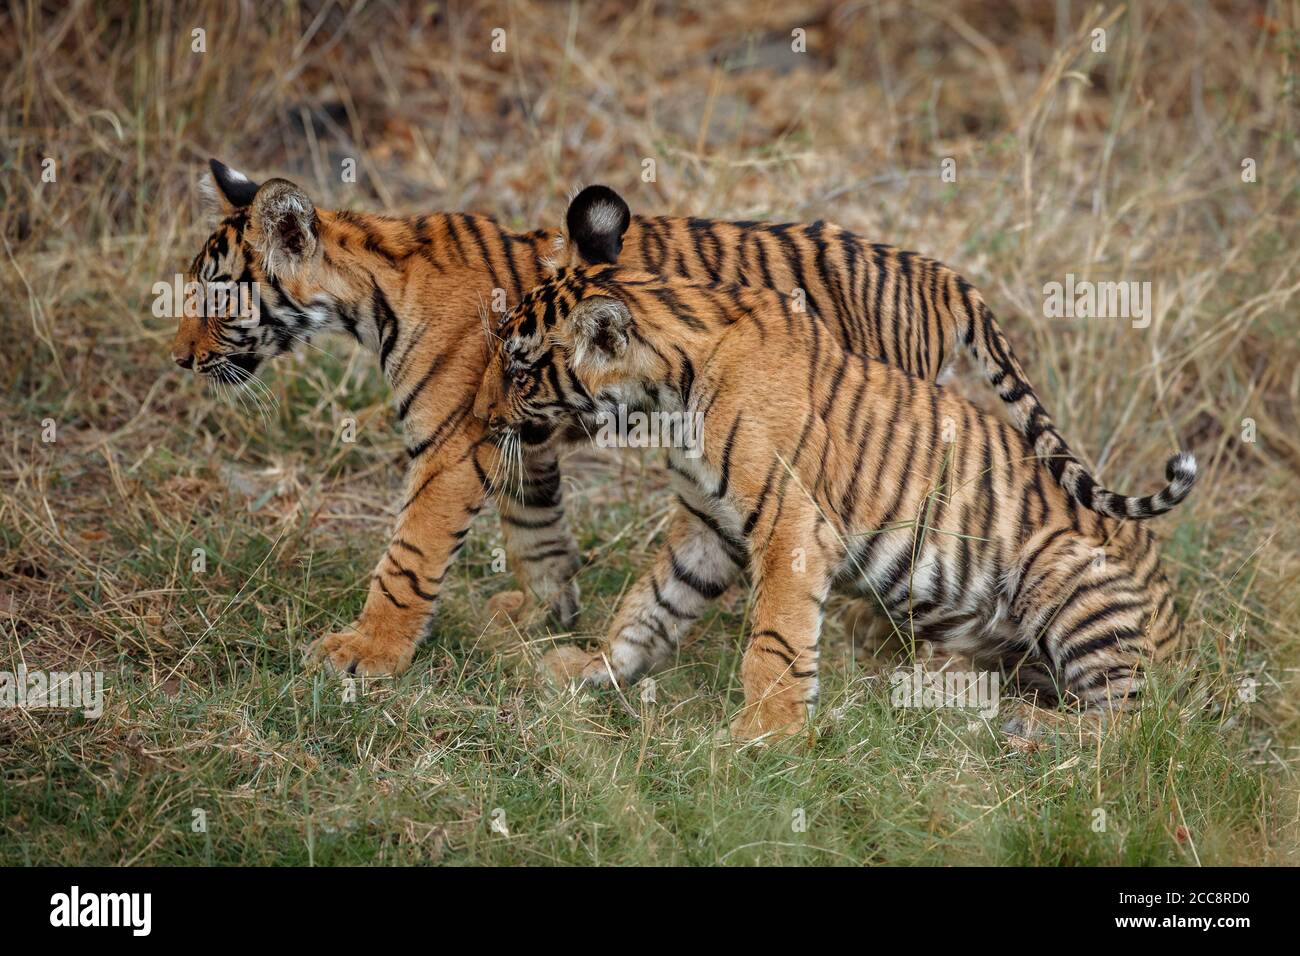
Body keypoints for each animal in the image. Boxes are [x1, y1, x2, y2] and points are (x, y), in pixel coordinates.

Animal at [173, 161, 1176, 677]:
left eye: (217, 295)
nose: (177, 358)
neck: (375, 285)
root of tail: (944, 274)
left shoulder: (454, 447)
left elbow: (408, 561)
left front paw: (366, 656)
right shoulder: (520, 435)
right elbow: (539, 531)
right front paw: (548, 618)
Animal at [473, 265, 1197, 739]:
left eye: (518, 368)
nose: (480, 418)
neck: (667, 398)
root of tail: (1179, 623)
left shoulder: (790, 525)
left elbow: (774, 638)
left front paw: (764, 736)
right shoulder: (708, 525)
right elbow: (650, 605)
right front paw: (592, 666)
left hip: (1069, 579)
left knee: (1129, 726)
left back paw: (1023, 729)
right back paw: (945, 697)